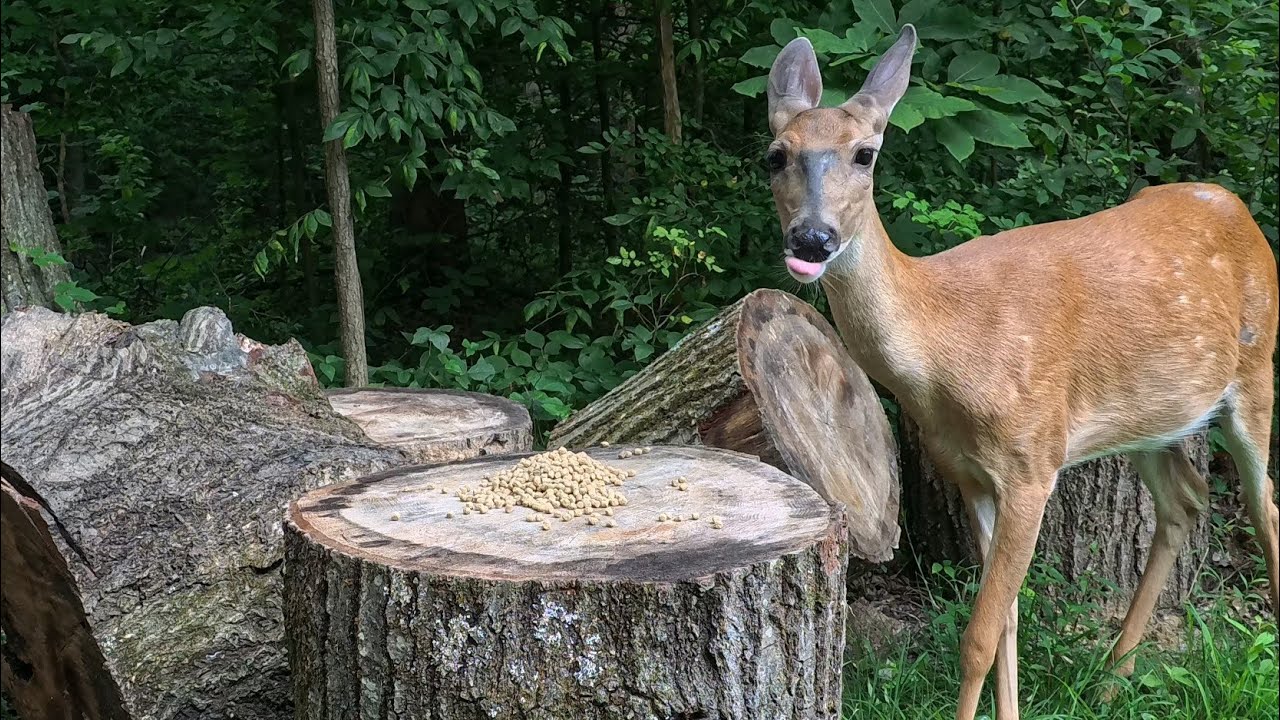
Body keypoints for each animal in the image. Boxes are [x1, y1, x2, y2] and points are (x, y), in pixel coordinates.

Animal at [764, 23, 1279, 720]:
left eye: (865, 154)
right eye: (776, 155)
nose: (812, 239)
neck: (944, 355)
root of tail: (1236, 206)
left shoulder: (1033, 463)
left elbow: (980, 635)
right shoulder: (969, 474)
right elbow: (1006, 621)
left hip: (1256, 370)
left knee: (1262, 506)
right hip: (1150, 418)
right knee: (1186, 501)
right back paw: (1113, 675)